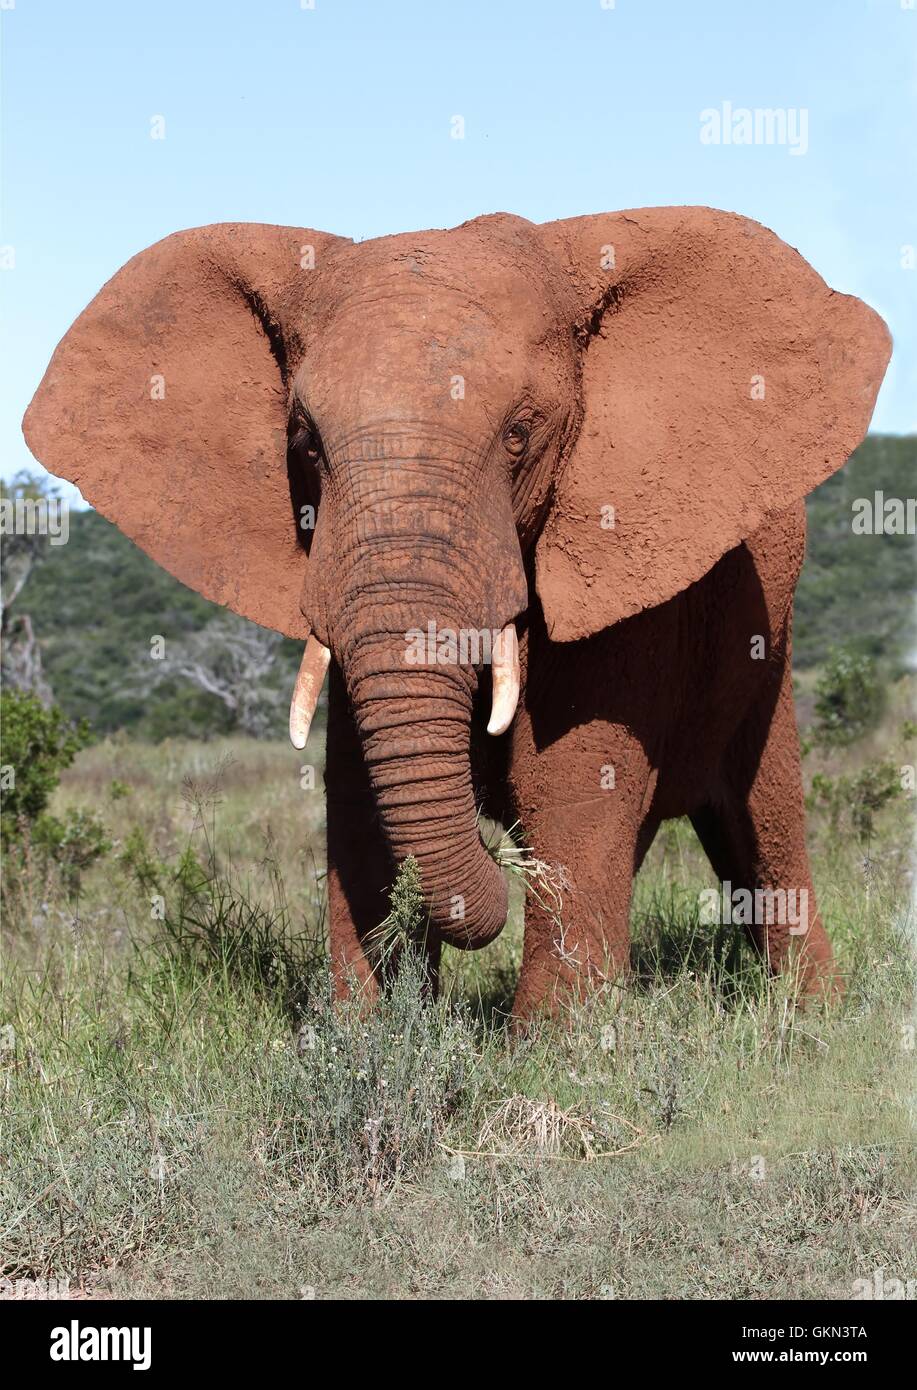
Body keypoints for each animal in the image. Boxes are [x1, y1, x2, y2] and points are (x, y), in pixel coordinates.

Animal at [23, 207, 890, 1020]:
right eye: (304, 443)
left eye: (520, 435)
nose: (498, 868)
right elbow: (358, 794)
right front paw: (368, 1039)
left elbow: (568, 777)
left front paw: (554, 1047)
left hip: (768, 636)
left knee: (765, 820)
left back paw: (809, 1013)